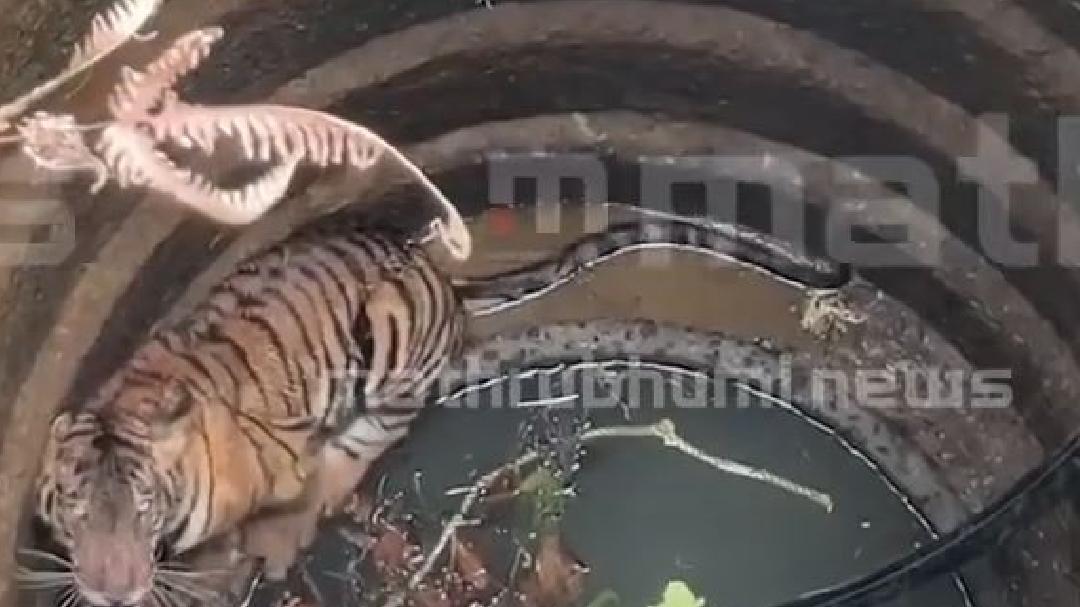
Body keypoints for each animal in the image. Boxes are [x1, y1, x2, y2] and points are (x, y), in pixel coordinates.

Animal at [29, 214, 848, 607]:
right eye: (74, 512)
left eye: (142, 508)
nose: (108, 588)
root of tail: (437, 276)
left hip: (385, 353)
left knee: (359, 447)